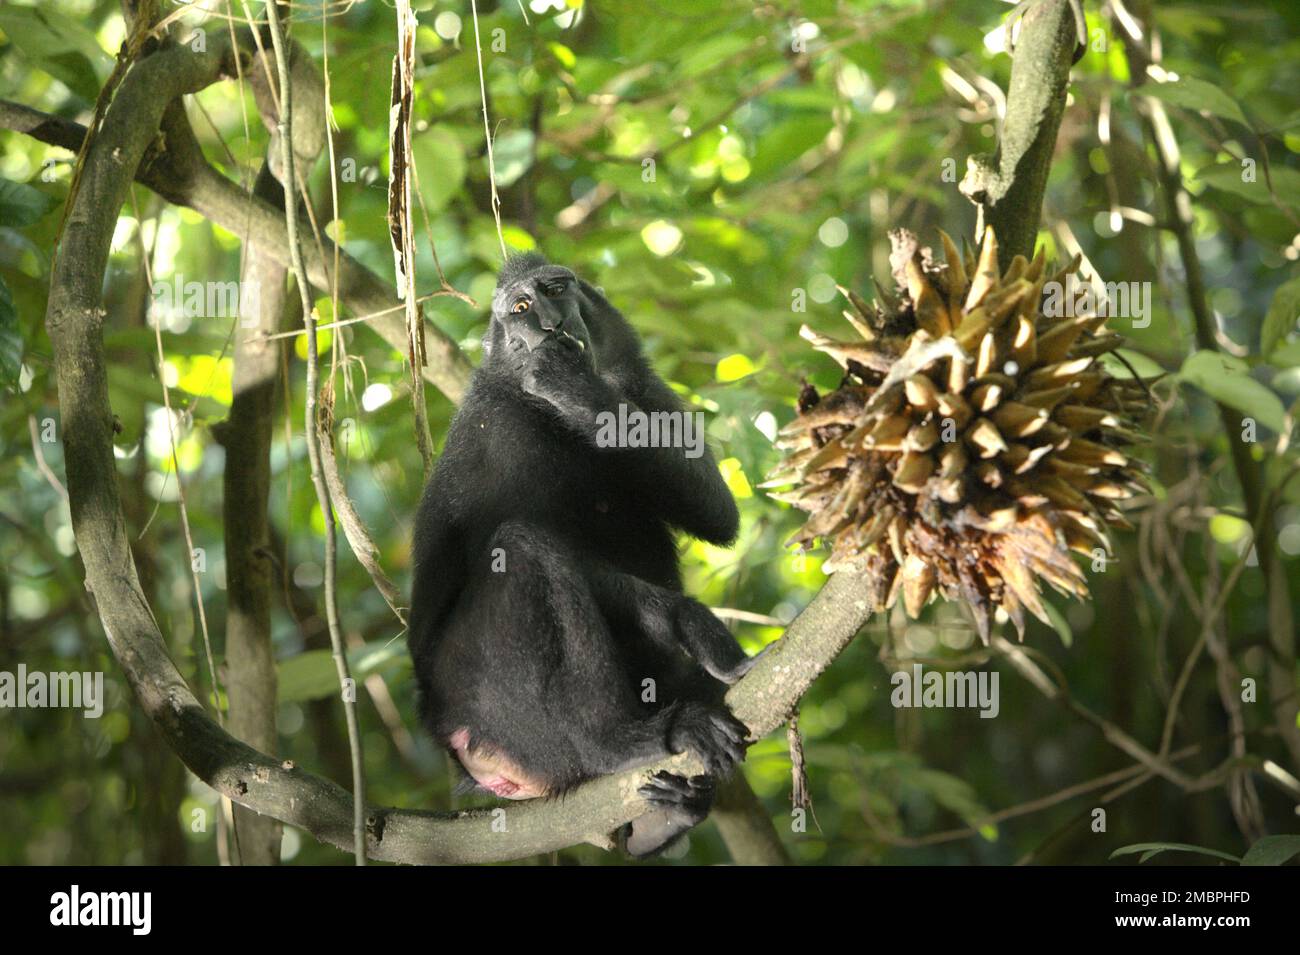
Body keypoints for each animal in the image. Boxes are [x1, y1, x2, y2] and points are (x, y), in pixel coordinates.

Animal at [407, 253, 760, 856]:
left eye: (555, 289)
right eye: (520, 307)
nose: (550, 325)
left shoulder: (640, 384)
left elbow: (716, 512)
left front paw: (575, 385)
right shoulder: (504, 433)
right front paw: (682, 619)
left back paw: (670, 813)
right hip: (487, 704)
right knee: (526, 549)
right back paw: (623, 741)